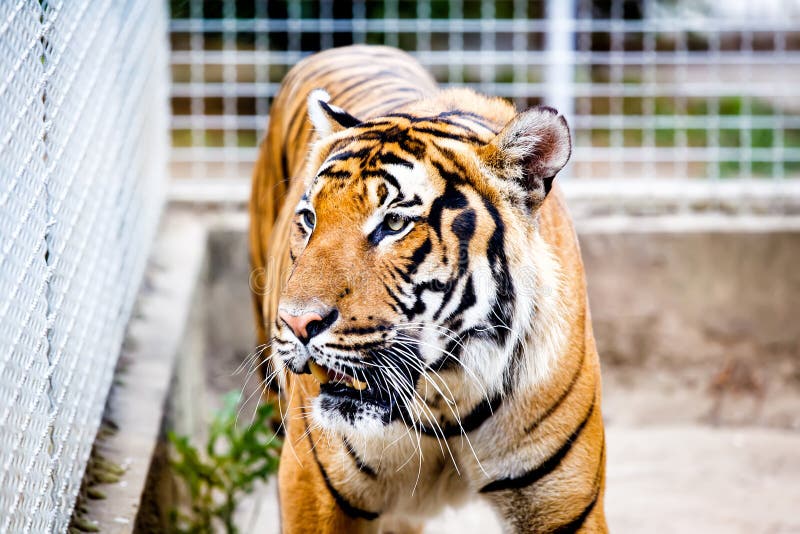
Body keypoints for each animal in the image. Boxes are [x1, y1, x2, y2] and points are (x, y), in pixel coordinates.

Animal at [249, 45, 606, 534]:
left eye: (394, 223)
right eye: (309, 219)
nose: (297, 323)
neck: (443, 394)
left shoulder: (563, 505)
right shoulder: (314, 488)